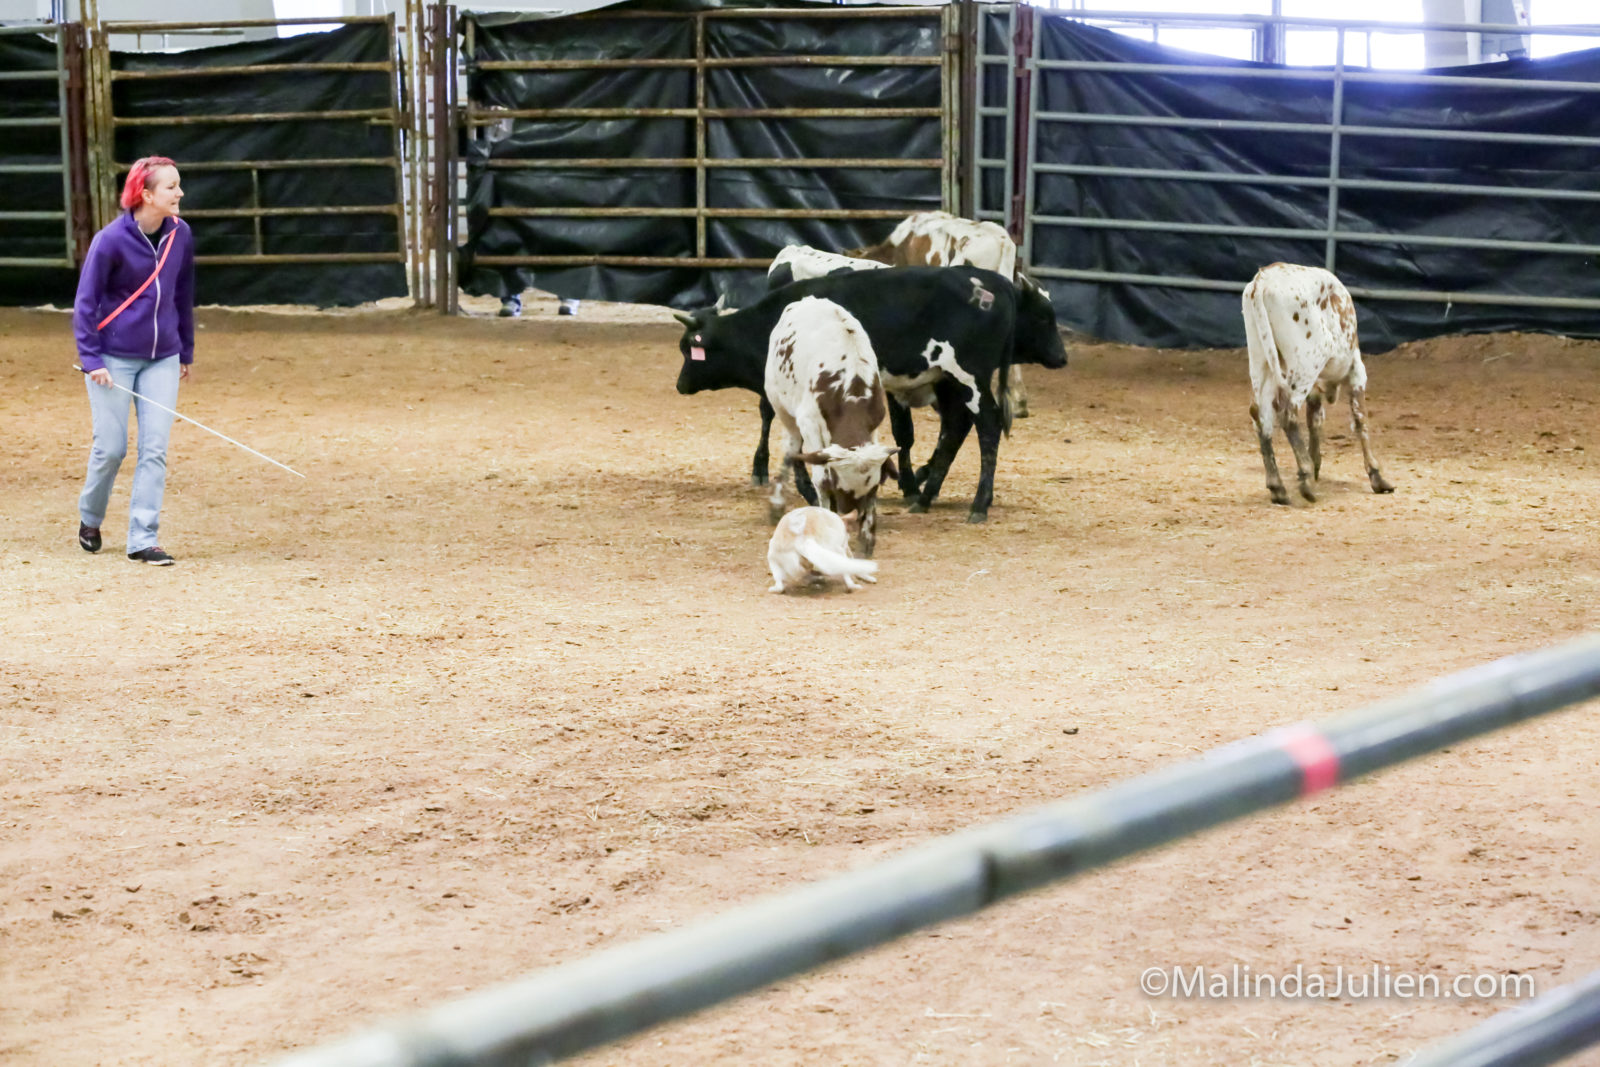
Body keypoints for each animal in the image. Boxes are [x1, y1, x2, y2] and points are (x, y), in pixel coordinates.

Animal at [675, 265, 1069, 524]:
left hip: (968, 375)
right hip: (950, 381)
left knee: (986, 425)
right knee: (956, 428)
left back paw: (978, 504)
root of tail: (993, 280)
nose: (680, 384)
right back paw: (925, 497)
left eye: (688, 350)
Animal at [764, 296, 897, 557]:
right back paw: (777, 502)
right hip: (782, 408)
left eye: (873, 488)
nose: (850, 515)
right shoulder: (809, 423)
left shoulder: (874, 425)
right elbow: (820, 478)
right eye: (840, 488)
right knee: (790, 449)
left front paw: (867, 535)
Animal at [1241, 262, 1395, 505]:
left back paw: (1278, 487)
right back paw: (1304, 479)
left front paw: (1315, 462)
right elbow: (1360, 419)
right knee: (1287, 413)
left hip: (1260, 361)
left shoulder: (1315, 390)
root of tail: (1262, 280)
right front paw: (1377, 477)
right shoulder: (1356, 371)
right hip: (1306, 365)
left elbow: (1315, 420)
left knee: (1260, 415)